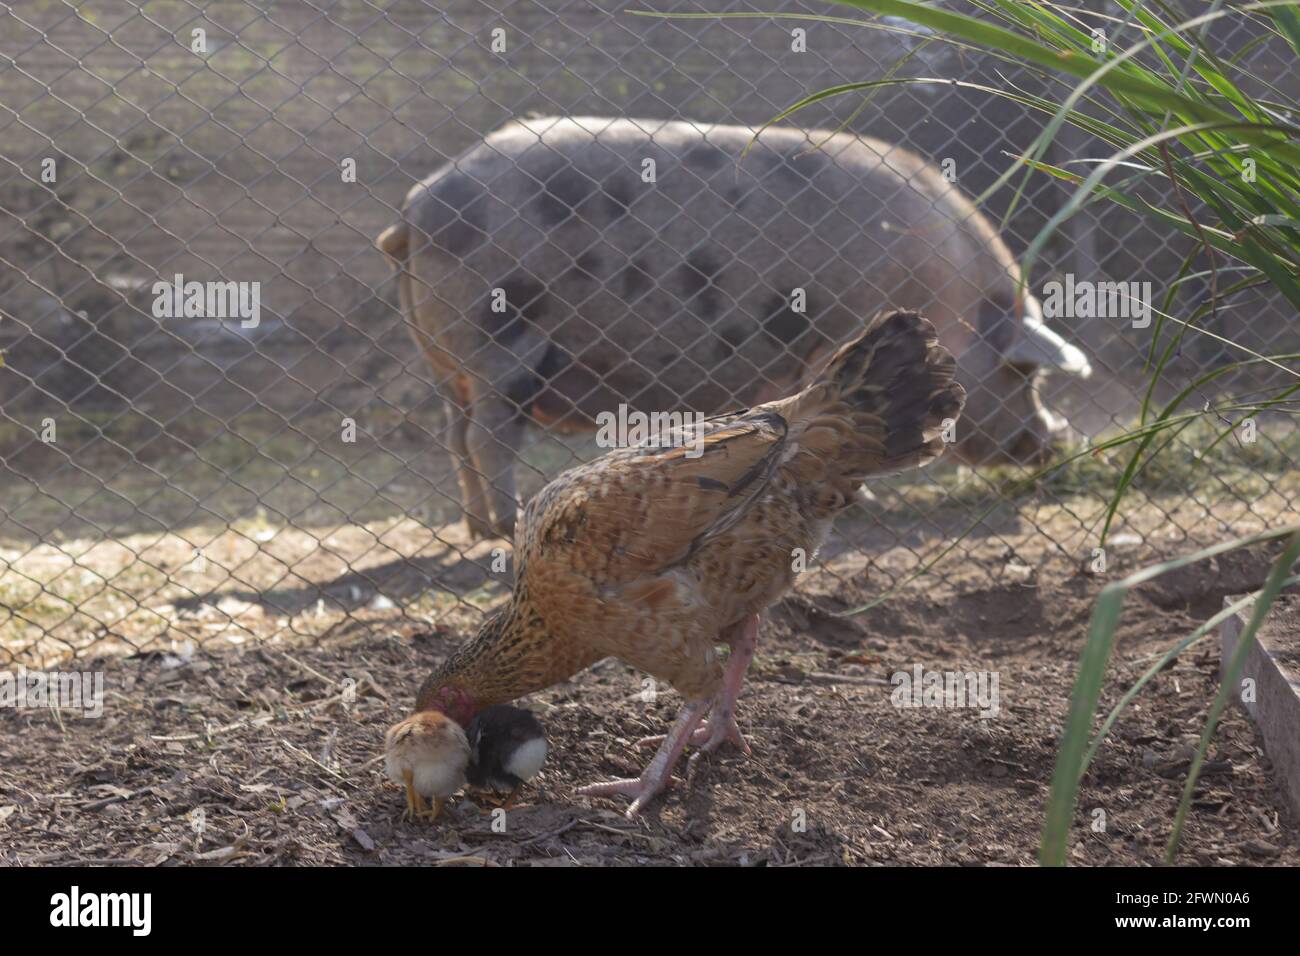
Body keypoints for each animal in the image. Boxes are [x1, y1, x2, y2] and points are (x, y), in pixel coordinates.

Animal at [377, 116, 1090, 539]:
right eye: (1023, 374)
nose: (1059, 438)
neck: (952, 301)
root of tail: (413, 209)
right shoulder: (836, 340)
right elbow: (841, 427)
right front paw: (861, 507)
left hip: (450, 364)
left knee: (456, 437)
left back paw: (475, 527)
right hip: (500, 342)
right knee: (488, 439)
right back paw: (506, 527)